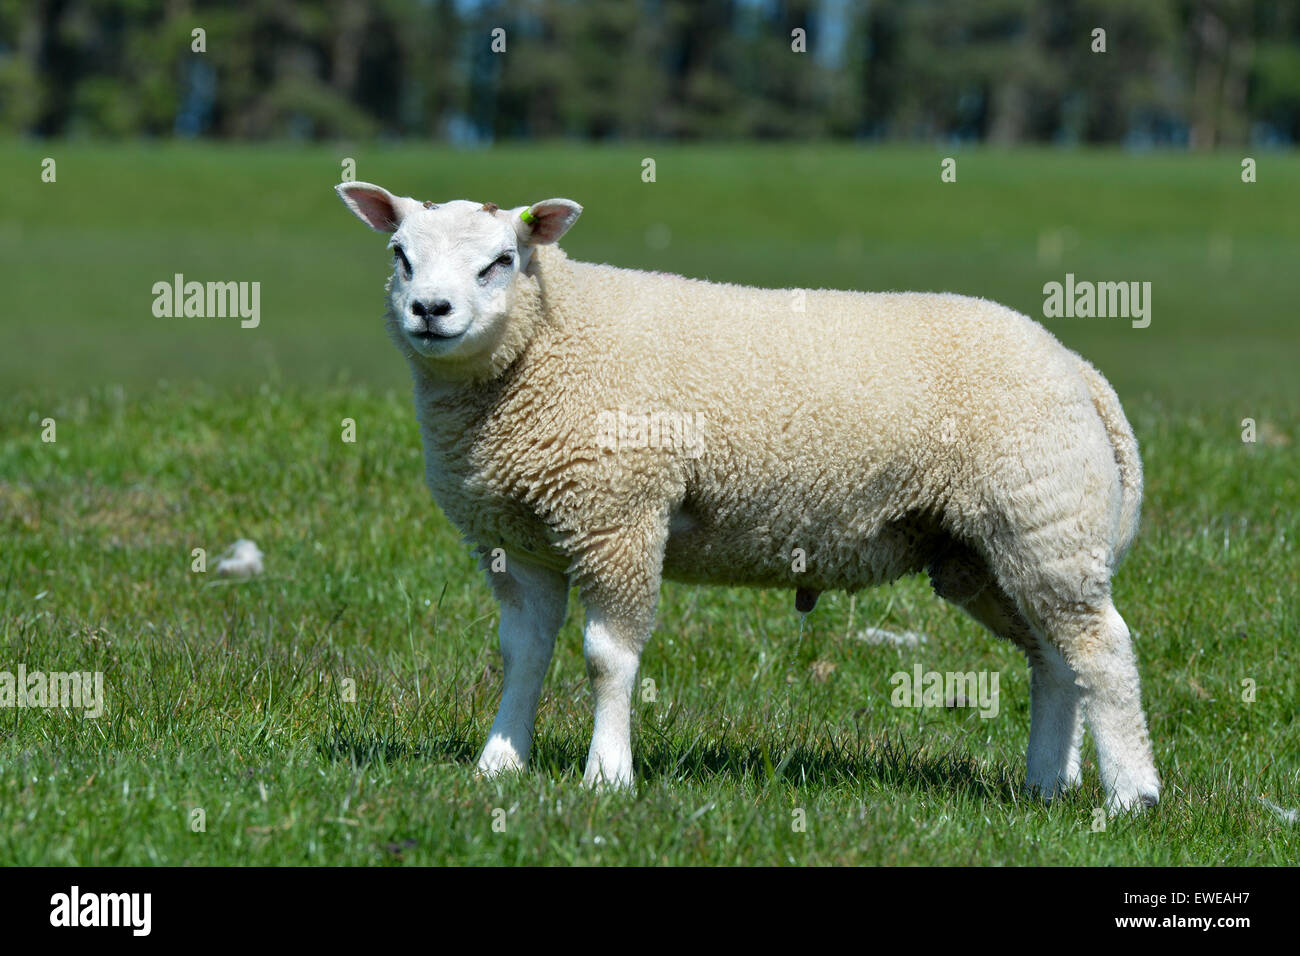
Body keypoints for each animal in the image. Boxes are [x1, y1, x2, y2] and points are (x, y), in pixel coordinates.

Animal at [335, 181, 1161, 813]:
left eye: (501, 262)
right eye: (400, 255)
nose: (431, 310)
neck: (545, 349)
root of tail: (1077, 368)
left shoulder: (619, 517)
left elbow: (607, 658)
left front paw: (607, 777)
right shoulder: (518, 539)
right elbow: (522, 654)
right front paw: (500, 764)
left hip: (1041, 514)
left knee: (1103, 649)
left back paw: (1131, 796)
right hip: (984, 549)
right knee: (1054, 657)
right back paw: (1047, 783)